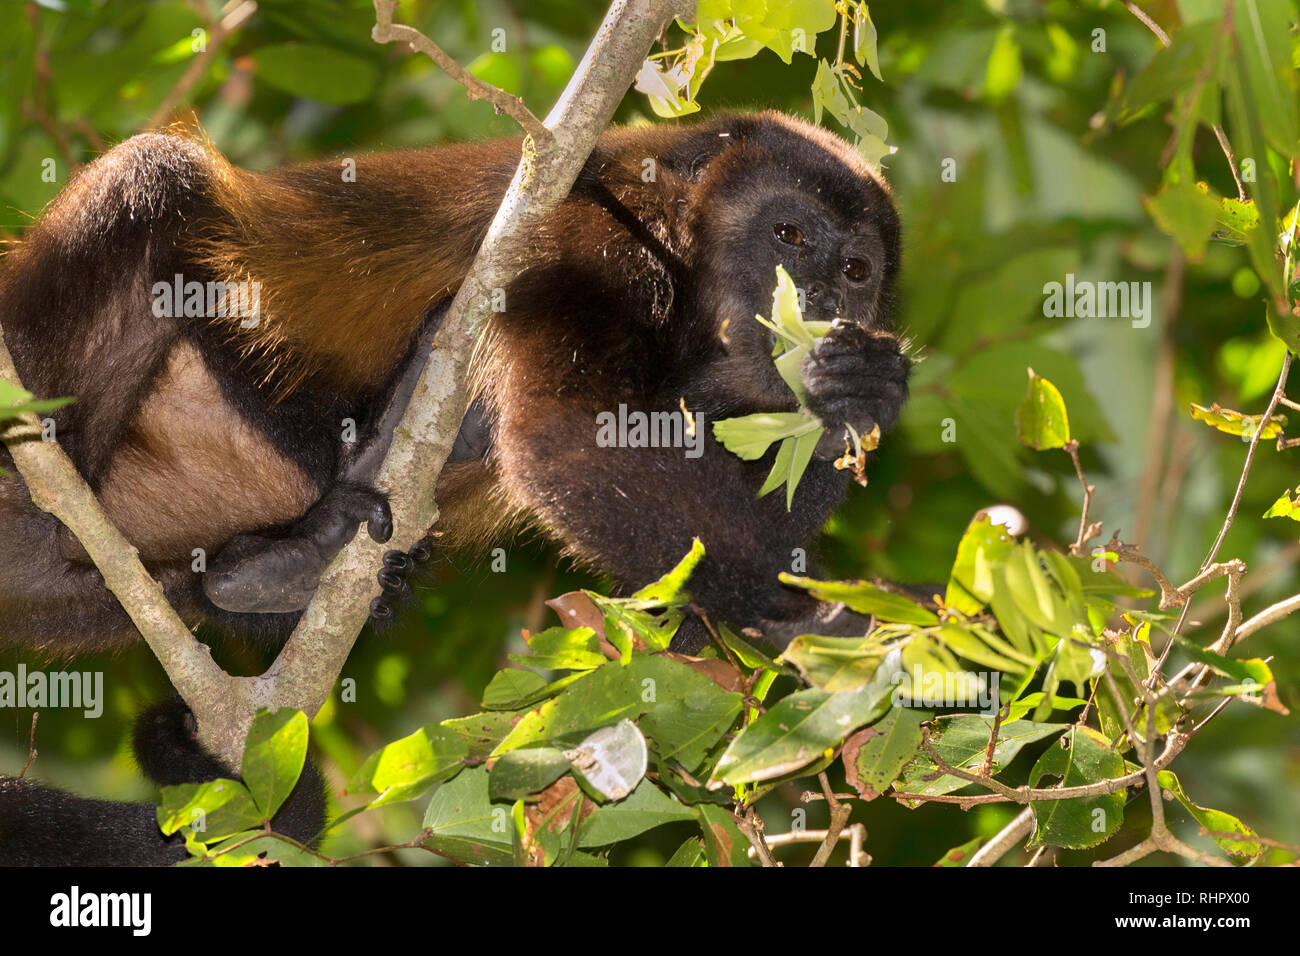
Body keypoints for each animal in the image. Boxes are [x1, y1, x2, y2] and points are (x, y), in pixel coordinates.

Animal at [0, 112, 908, 864]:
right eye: (789, 233)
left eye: (857, 269)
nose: (822, 298)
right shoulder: (586, 241)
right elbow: (562, 444)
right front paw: (833, 625)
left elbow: (684, 610)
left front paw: (856, 396)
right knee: (158, 176)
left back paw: (292, 559)